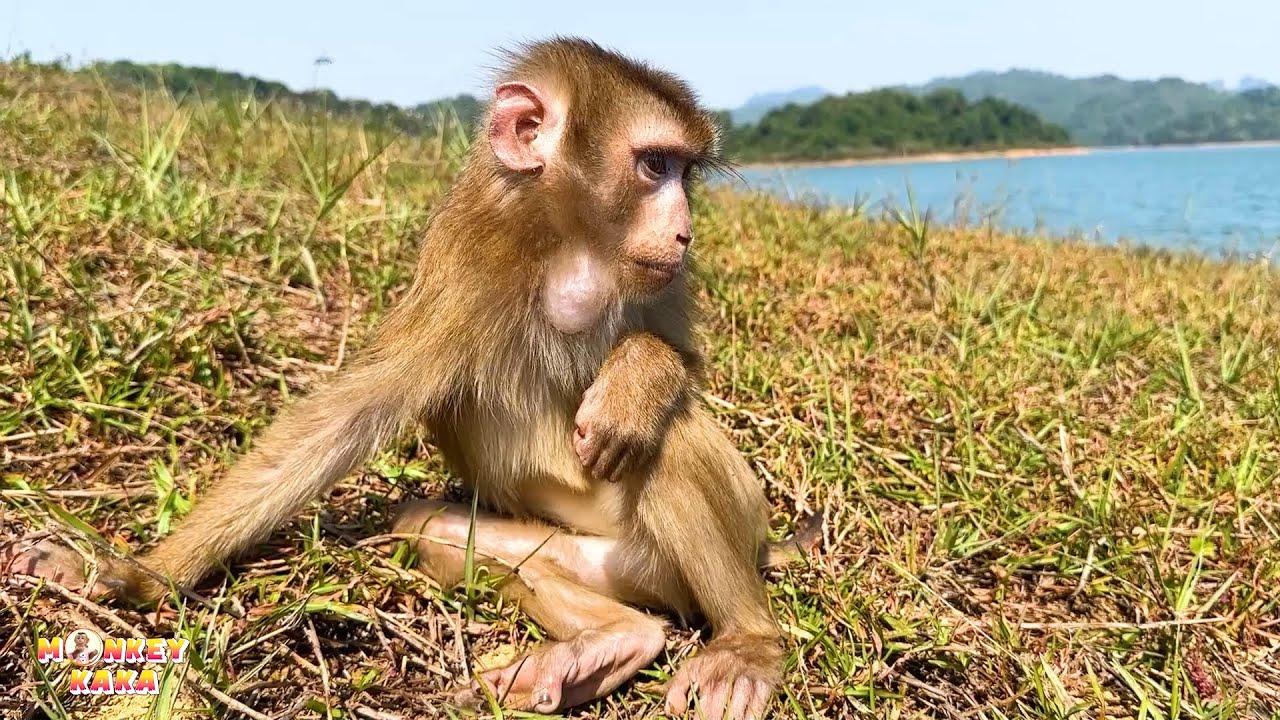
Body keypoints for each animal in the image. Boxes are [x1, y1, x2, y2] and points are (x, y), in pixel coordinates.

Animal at [3, 37, 811, 719]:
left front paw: (638, 380)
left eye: (684, 172)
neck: (568, 251)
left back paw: (746, 641)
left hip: (714, 536)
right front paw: (138, 572)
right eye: (653, 166)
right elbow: (345, 422)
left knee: (669, 442)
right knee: (429, 527)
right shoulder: (460, 277)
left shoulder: (657, 280)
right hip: (597, 562)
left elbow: (681, 367)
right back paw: (606, 644)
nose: (684, 229)